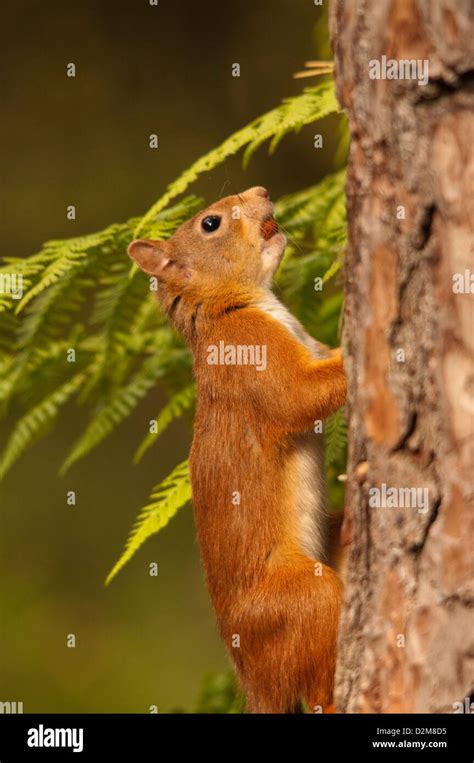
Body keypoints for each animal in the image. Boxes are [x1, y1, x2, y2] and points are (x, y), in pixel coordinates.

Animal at [128, 186, 347, 713]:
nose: (262, 192)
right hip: (303, 599)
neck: (229, 309)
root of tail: (255, 679)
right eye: (211, 223)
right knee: (318, 685)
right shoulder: (252, 356)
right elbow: (301, 397)